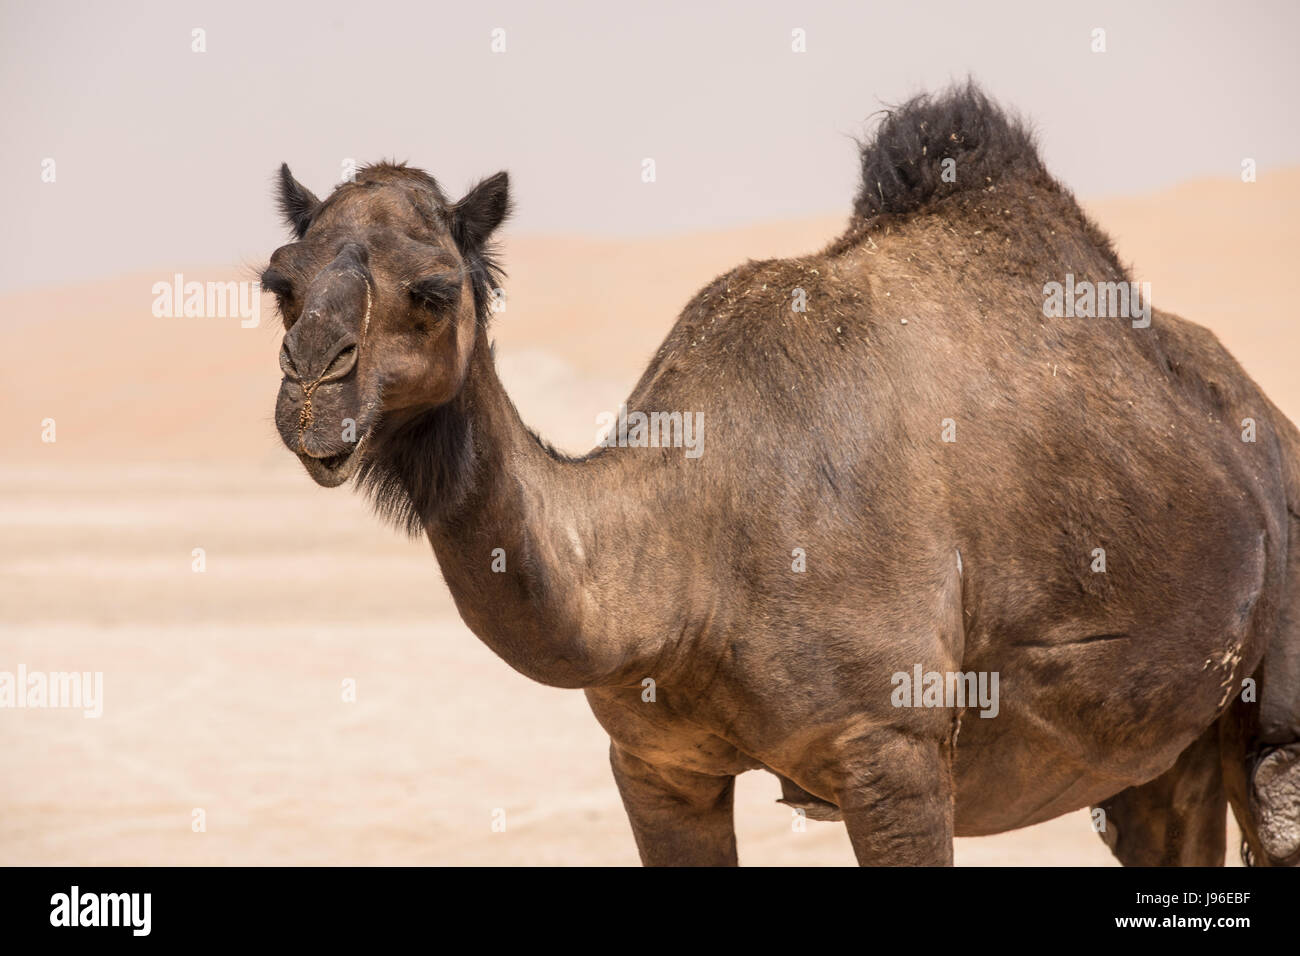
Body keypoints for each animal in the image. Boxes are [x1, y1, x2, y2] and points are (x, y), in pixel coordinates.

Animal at [263, 84, 1300, 866]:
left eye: (434, 293)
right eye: (280, 283)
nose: (311, 387)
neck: (690, 556)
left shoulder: (893, 752)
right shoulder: (656, 763)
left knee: (1273, 791)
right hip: (1156, 754)